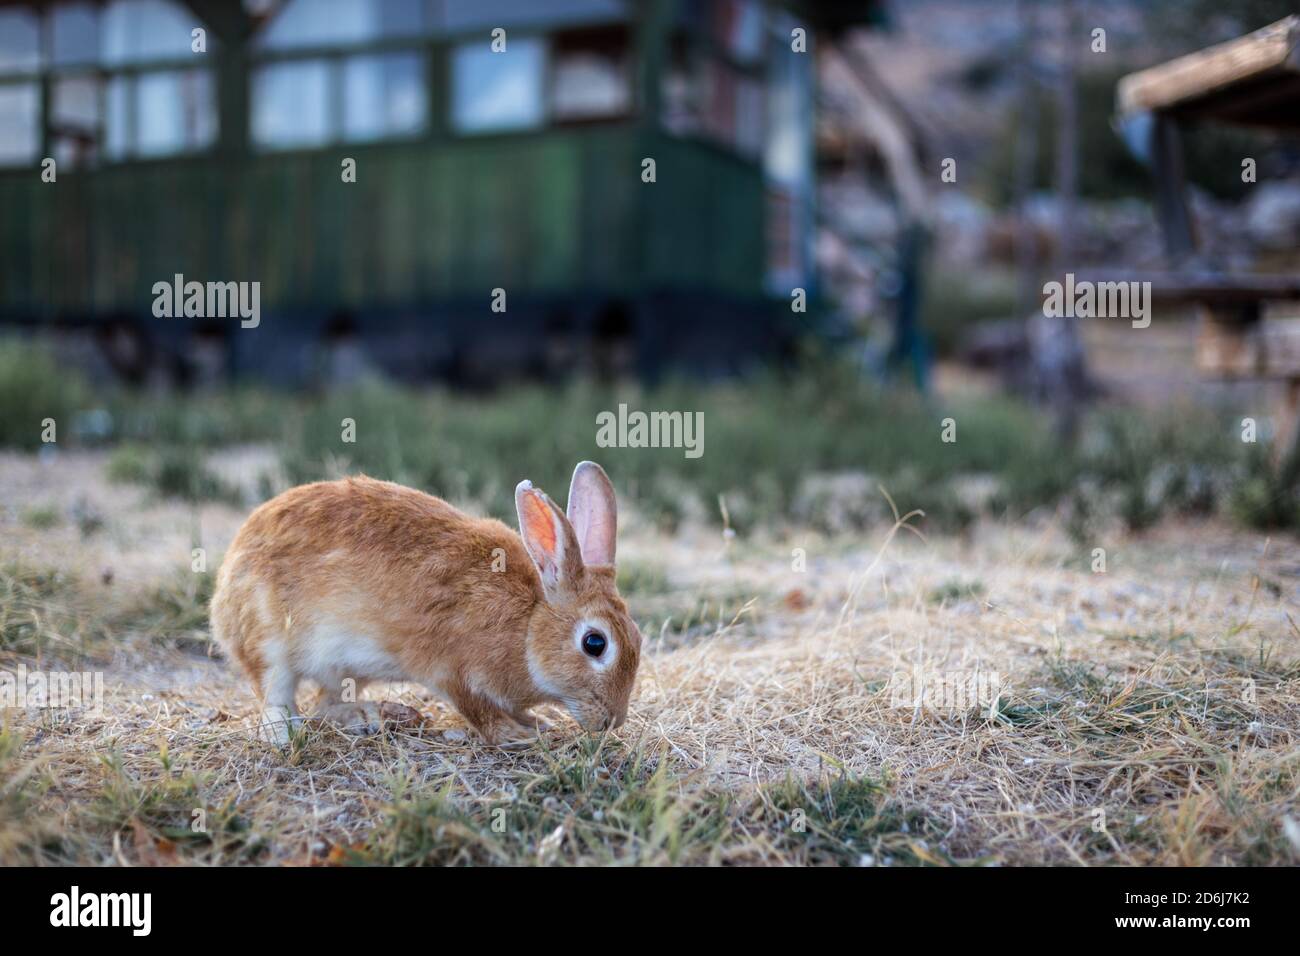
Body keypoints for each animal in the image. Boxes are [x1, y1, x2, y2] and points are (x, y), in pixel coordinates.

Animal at [209, 461, 640, 747]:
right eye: (595, 643)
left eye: (637, 636)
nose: (614, 720)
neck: (530, 624)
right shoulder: (452, 670)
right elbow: (479, 712)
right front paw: (518, 735)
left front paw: (535, 723)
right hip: (268, 638)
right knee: (274, 694)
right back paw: (284, 735)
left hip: (345, 669)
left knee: (327, 702)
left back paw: (371, 715)